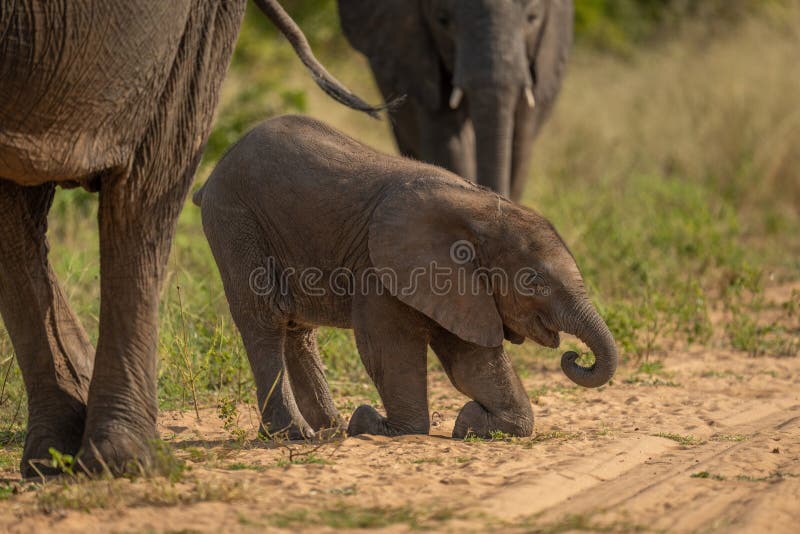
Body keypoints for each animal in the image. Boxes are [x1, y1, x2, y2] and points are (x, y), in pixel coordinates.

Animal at [193, 115, 617, 440]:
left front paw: (472, 423)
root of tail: (212, 175)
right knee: (265, 320)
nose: (574, 355)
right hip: (235, 221)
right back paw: (296, 435)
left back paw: (329, 430)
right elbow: (389, 349)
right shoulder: (382, 271)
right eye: (533, 283)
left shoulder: (460, 289)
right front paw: (375, 425)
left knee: (298, 331)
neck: (482, 211)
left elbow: (472, 361)